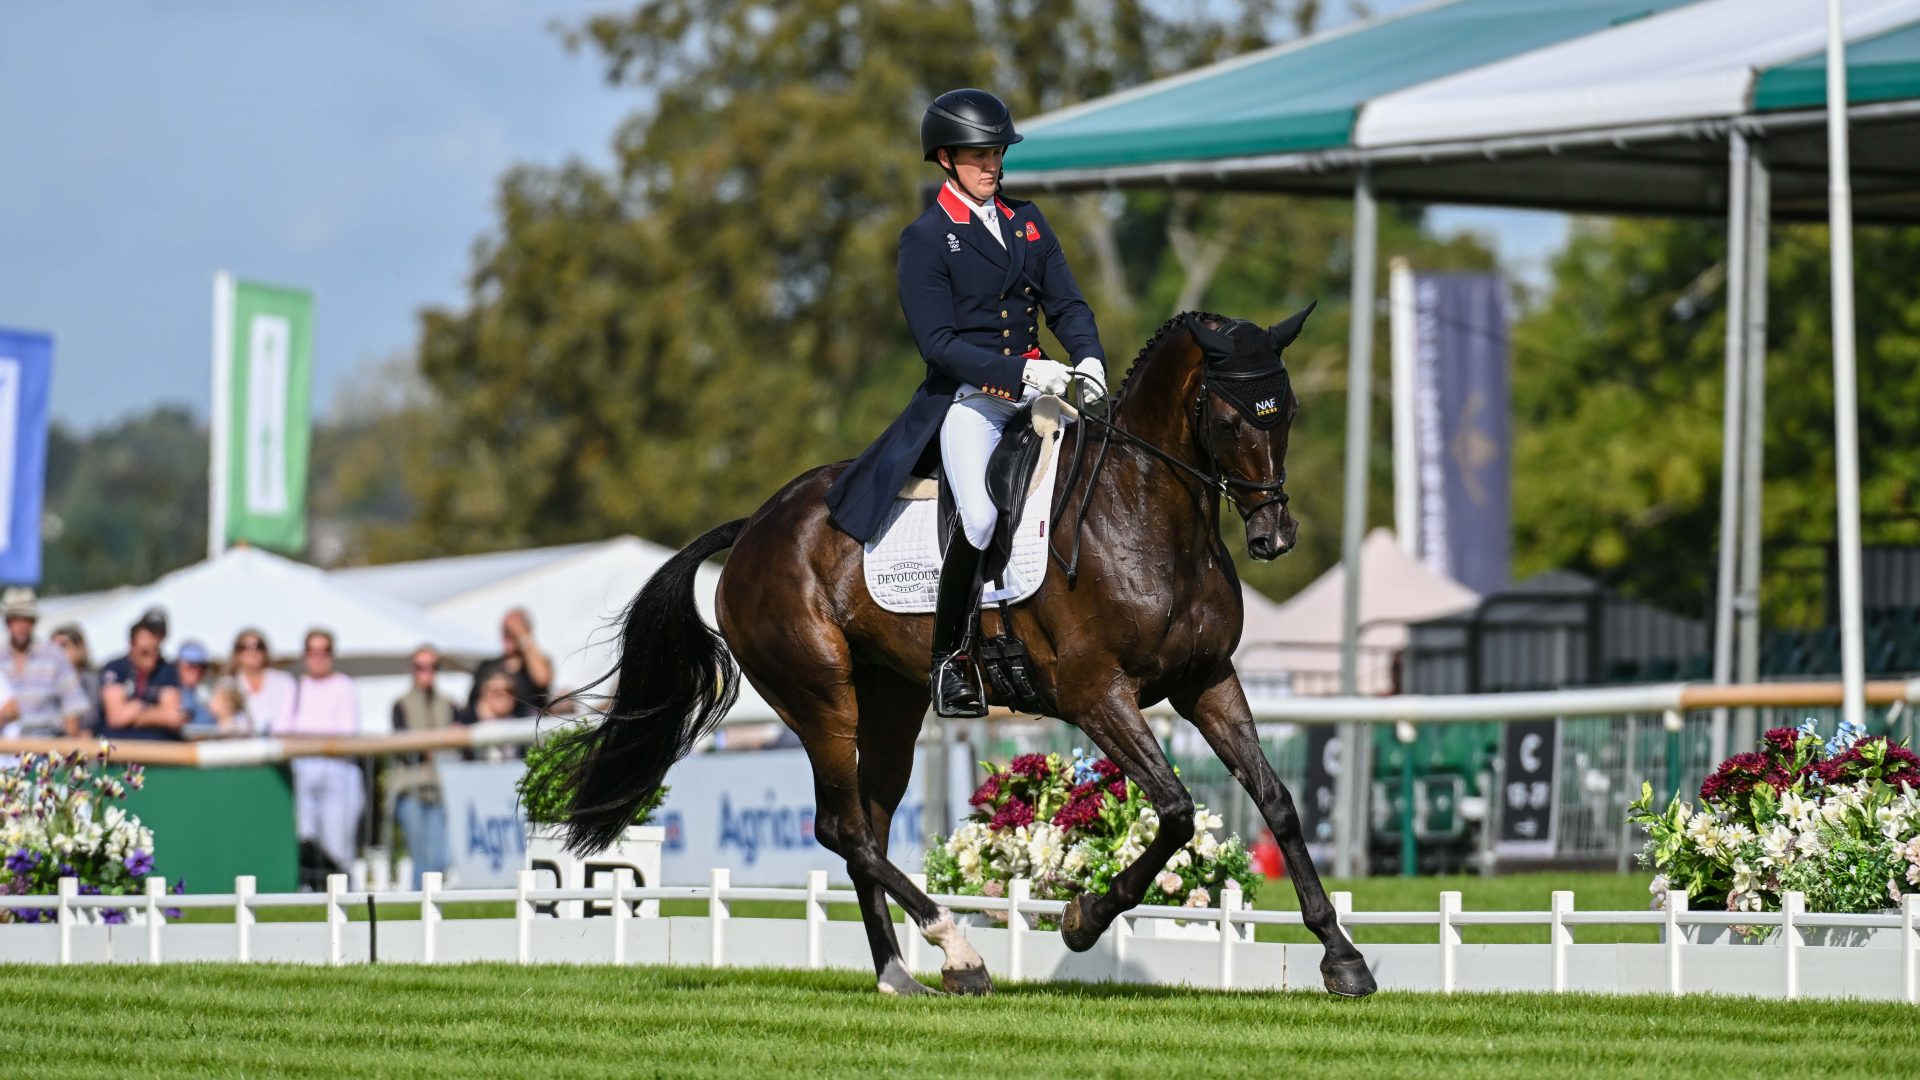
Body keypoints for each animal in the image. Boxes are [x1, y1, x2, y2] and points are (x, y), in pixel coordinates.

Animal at [556, 308, 1376, 998]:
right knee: (842, 827)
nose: (1275, 536)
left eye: (1288, 411)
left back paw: (902, 973)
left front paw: (1342, 958)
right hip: (822, 697)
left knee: (868, 823)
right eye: (1231, 416)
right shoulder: (1095, 695)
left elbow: (1276, 799)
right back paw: (956, 947)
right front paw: (1083, 918)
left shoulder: (1208, 680)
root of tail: (756, 524)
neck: (1145, 515)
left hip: (893, 698)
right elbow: (1174, 810)